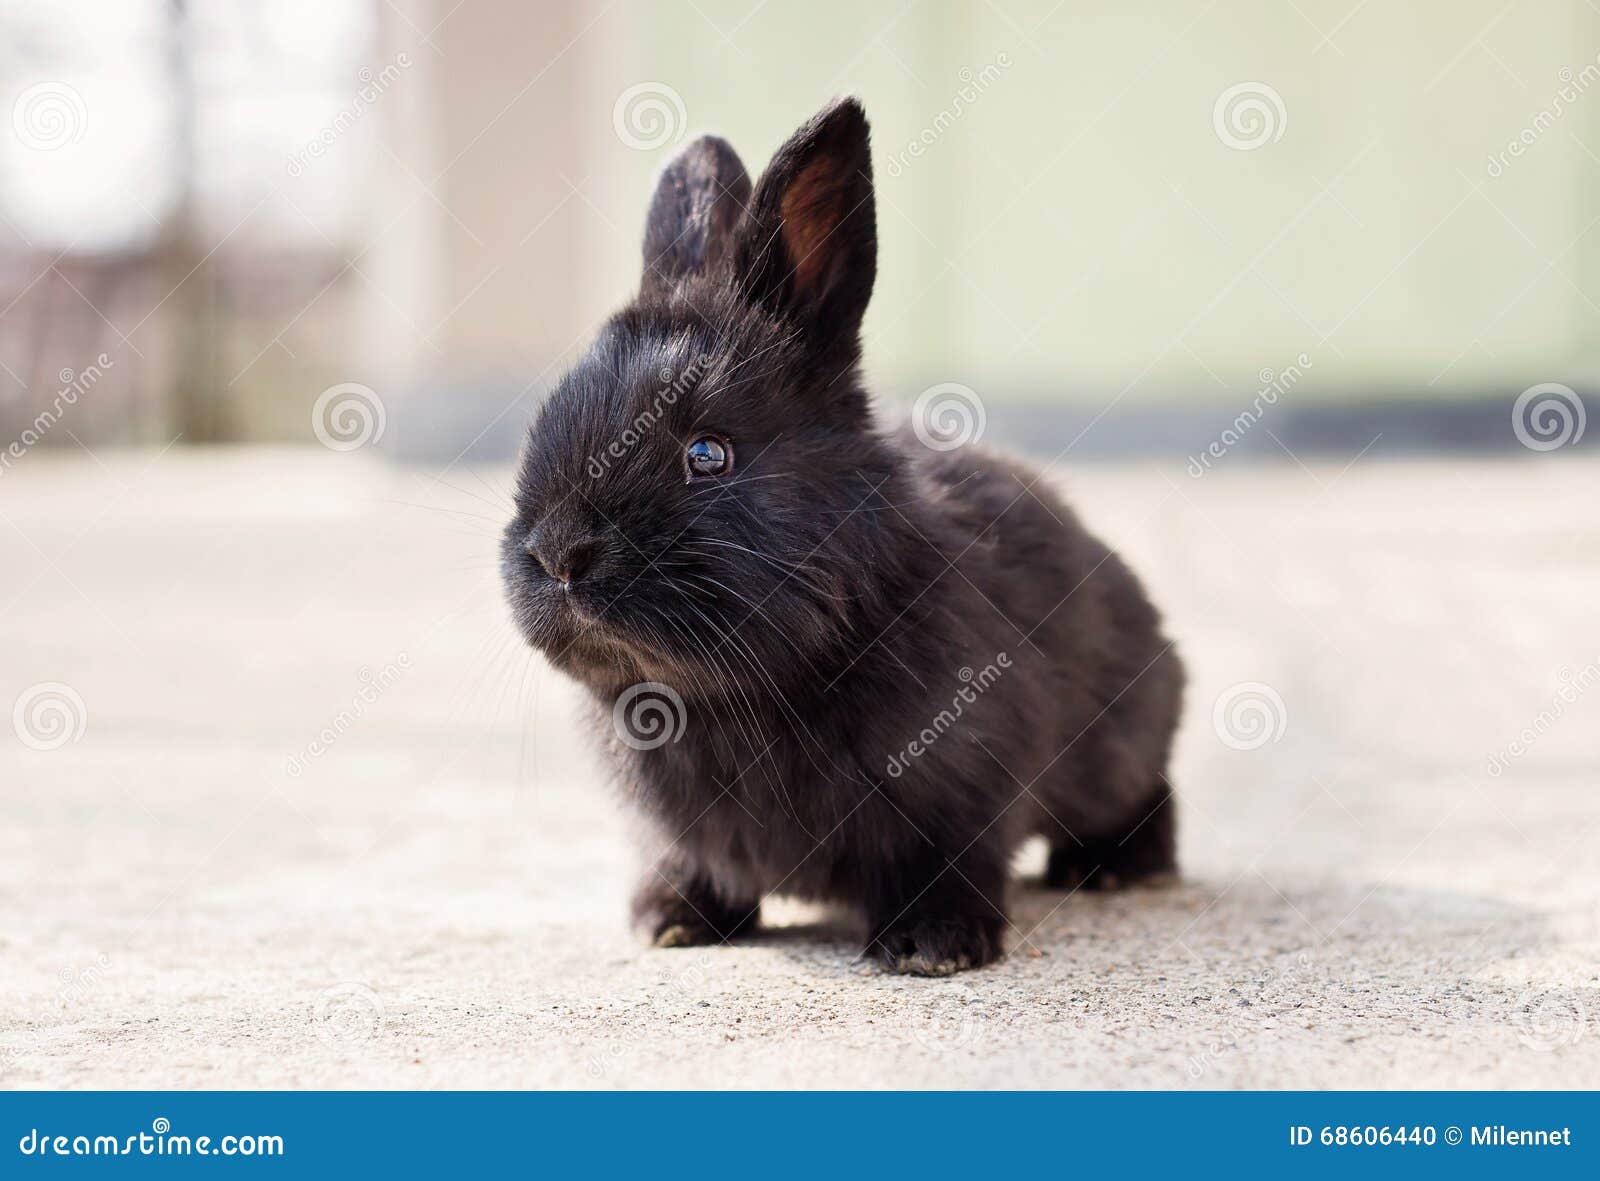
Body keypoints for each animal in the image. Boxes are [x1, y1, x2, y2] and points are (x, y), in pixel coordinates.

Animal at [501, 98, 1184, 975]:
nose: (559, 553)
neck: (732, 692)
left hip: (1117, 756)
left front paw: (932, 943)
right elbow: (691, 860)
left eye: (707, 454)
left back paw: (1113, 868)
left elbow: (949, 856)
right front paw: (671, 919)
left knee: (1146, 794)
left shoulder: (962, 787)